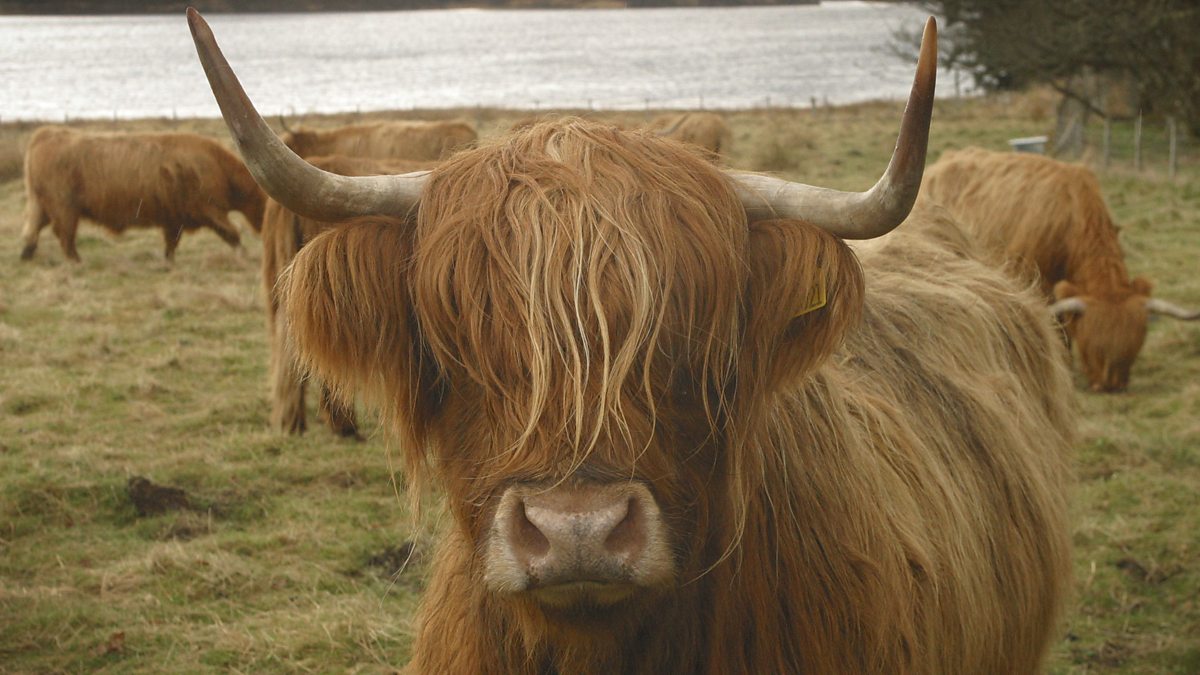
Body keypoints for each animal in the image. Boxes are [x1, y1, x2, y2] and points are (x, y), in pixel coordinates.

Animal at [20, 126, 265, 262]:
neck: (219, 167)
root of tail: (45, 134)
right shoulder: (209, 208)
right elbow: (232, 233)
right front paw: (243, 255)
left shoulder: (174, 217)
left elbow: (171, 242)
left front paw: (168, 262)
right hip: (64, 207)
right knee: (65, 236)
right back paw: (76, 261)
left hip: (42, 204)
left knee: (33, 228)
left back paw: (27, 254)